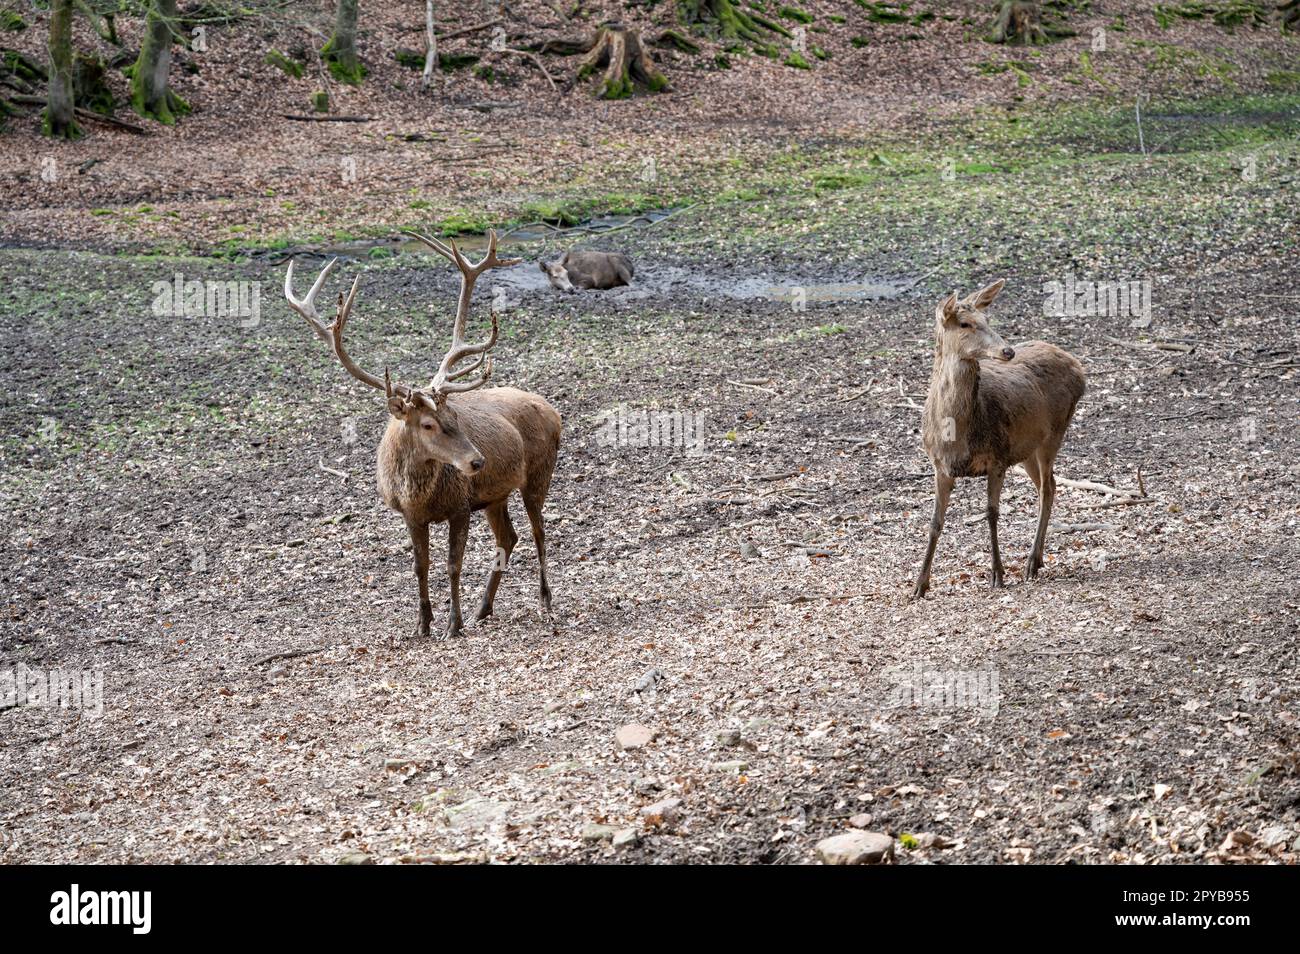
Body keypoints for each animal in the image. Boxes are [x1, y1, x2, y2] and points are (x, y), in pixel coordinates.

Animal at [284, 229, 562, 639]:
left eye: (454, 414)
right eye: (428, 423)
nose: (476, 461)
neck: (419, 496)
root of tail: (554, 411)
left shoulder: (461, 504)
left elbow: (452, 564)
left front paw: (452, 625)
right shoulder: (410, 515)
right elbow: (420, 566)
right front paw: (422, 624)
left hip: (539, 474)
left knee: (539, 532)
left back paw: (543, 602)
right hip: (495, 494)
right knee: (508, 537)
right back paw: (483, 608)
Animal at [912, 279, 1085, 600]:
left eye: (987, 319)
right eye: (965, 323)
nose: (1008, 350)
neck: (957, 436)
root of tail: (1077, 366)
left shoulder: (998, 457)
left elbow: (991, 513)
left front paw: (997, 574)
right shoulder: (940, 466)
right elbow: (935, 522)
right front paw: (919, 585)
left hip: (1055, 432)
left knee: (1047, 487)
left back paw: (1031, 562)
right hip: (1027, 448)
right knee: (1049, 485)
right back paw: (1037, 559)